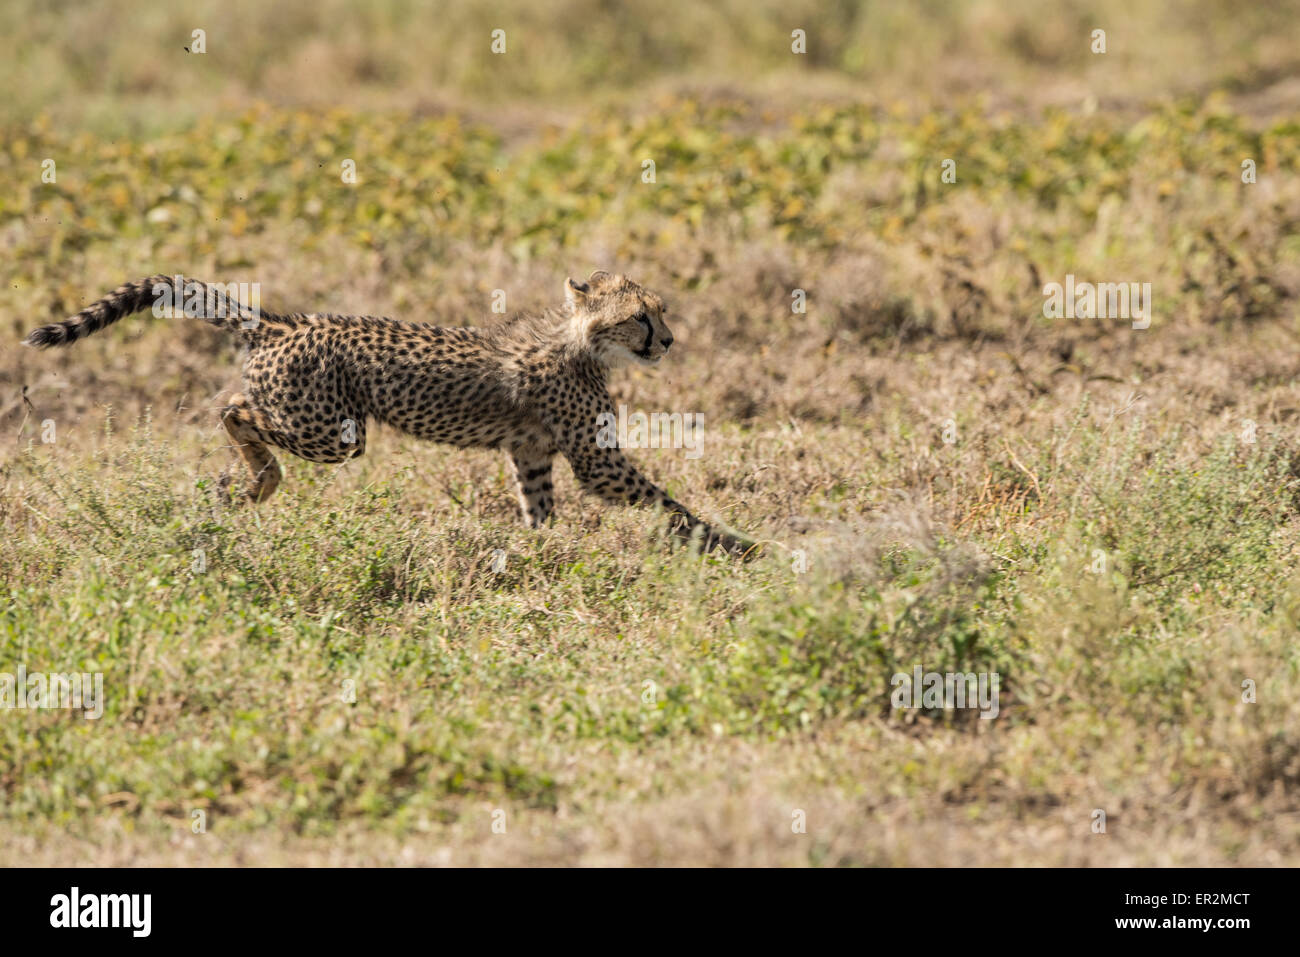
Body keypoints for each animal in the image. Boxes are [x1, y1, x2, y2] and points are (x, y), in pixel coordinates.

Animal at [22, 270, 755, 557]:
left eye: (660, 312)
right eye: (640, 317)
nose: (668, 341)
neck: (580, 341)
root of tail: (285, 321)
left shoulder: (530, 451)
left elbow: (539, 506)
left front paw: (541, 550)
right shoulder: (596, 458)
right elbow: (664, 500)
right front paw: (735, 544)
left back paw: (250, 485)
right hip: (332, 430)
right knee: (234, 408)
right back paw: (259, 480)